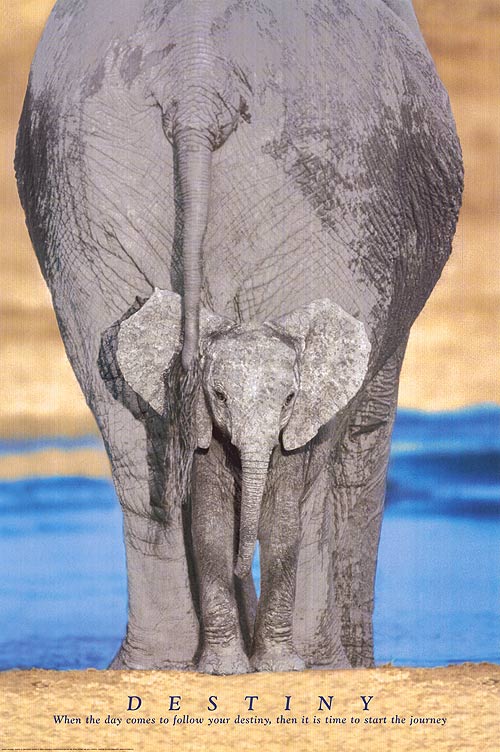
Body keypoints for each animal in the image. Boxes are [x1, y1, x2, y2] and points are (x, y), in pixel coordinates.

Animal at [15, 0, 463, 672]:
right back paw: (315, 662)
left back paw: (158, 664)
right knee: (310, 466)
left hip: (80, 199)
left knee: (132, 441)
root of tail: (197, 80)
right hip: (338, 196)